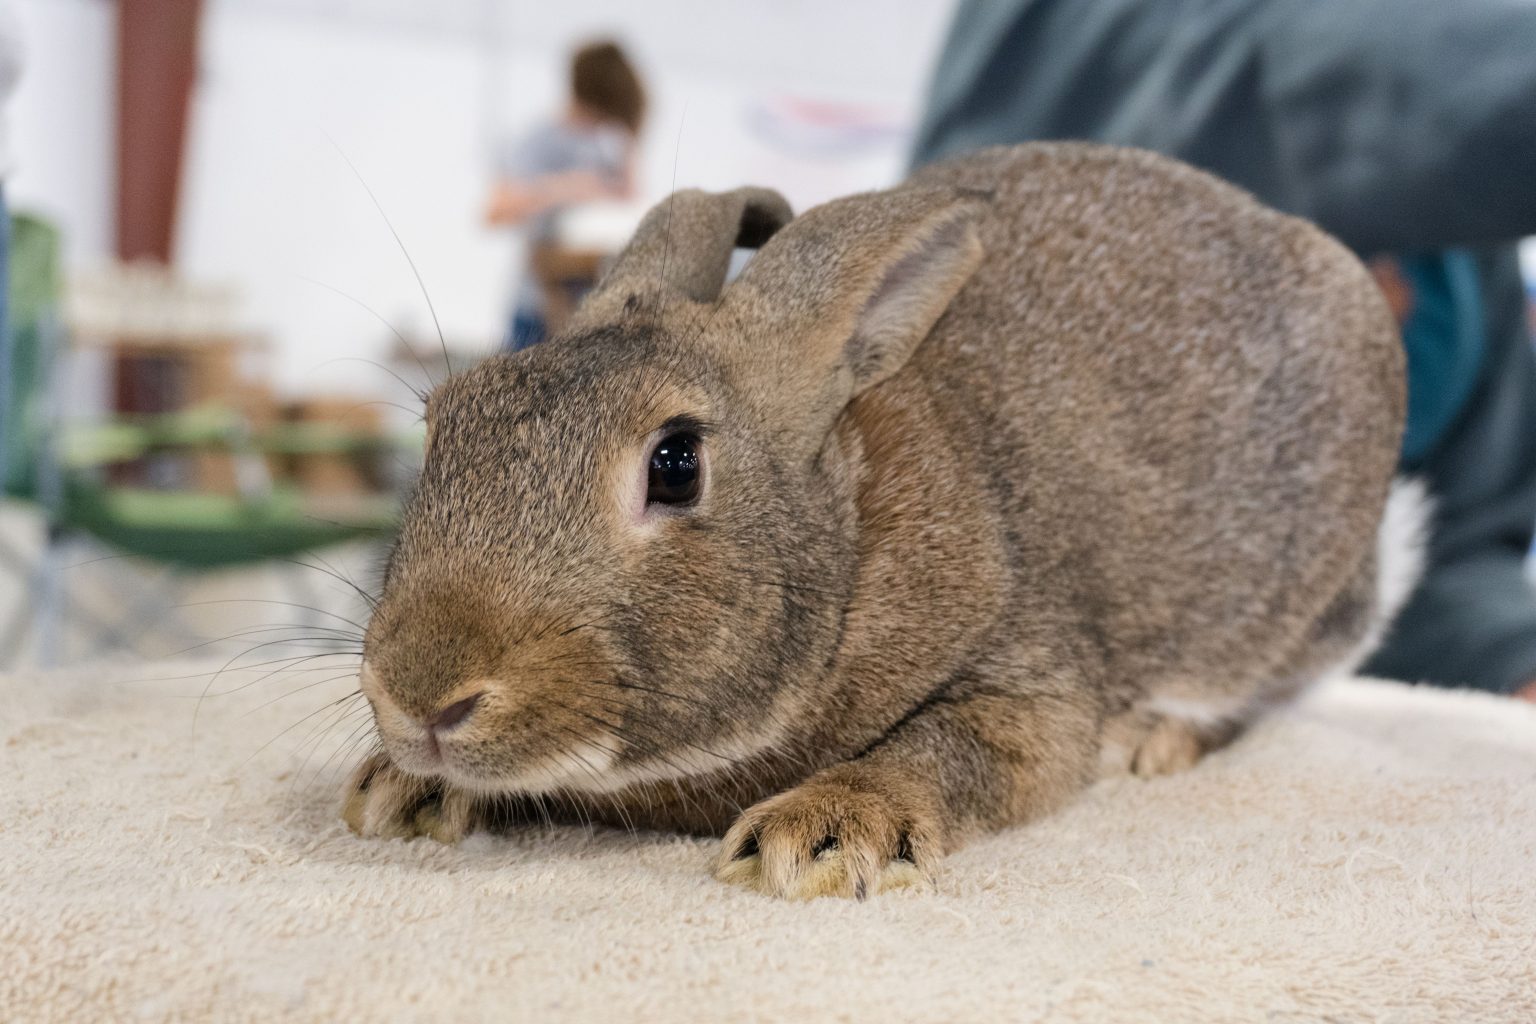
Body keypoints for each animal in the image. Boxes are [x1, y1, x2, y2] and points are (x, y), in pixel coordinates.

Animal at [341, 142, 1420, 900]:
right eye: (446, 423)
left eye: (676, 463)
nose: (421, 698)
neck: (849, 538)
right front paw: (399, 791)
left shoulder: (1029, 675)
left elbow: (961, 752)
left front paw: (820, 834)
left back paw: (1151, 740)